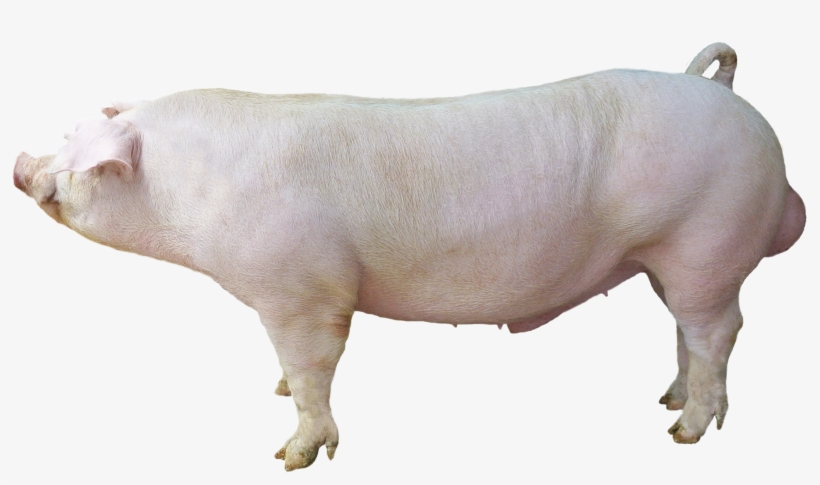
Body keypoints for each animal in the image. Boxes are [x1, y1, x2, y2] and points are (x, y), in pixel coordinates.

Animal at [12, 42, 806, 471]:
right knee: (687, 331)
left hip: (707, 241)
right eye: (67, 135)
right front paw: (275, 390)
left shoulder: (303, 291)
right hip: (668, 262)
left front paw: (290, 454)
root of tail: (718, 91)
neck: (192, 194)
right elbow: (293, 370)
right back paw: (667, 402)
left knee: (719, 333)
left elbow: (315, 369)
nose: (20, 163)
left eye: (81, 159)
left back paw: (683, 433)